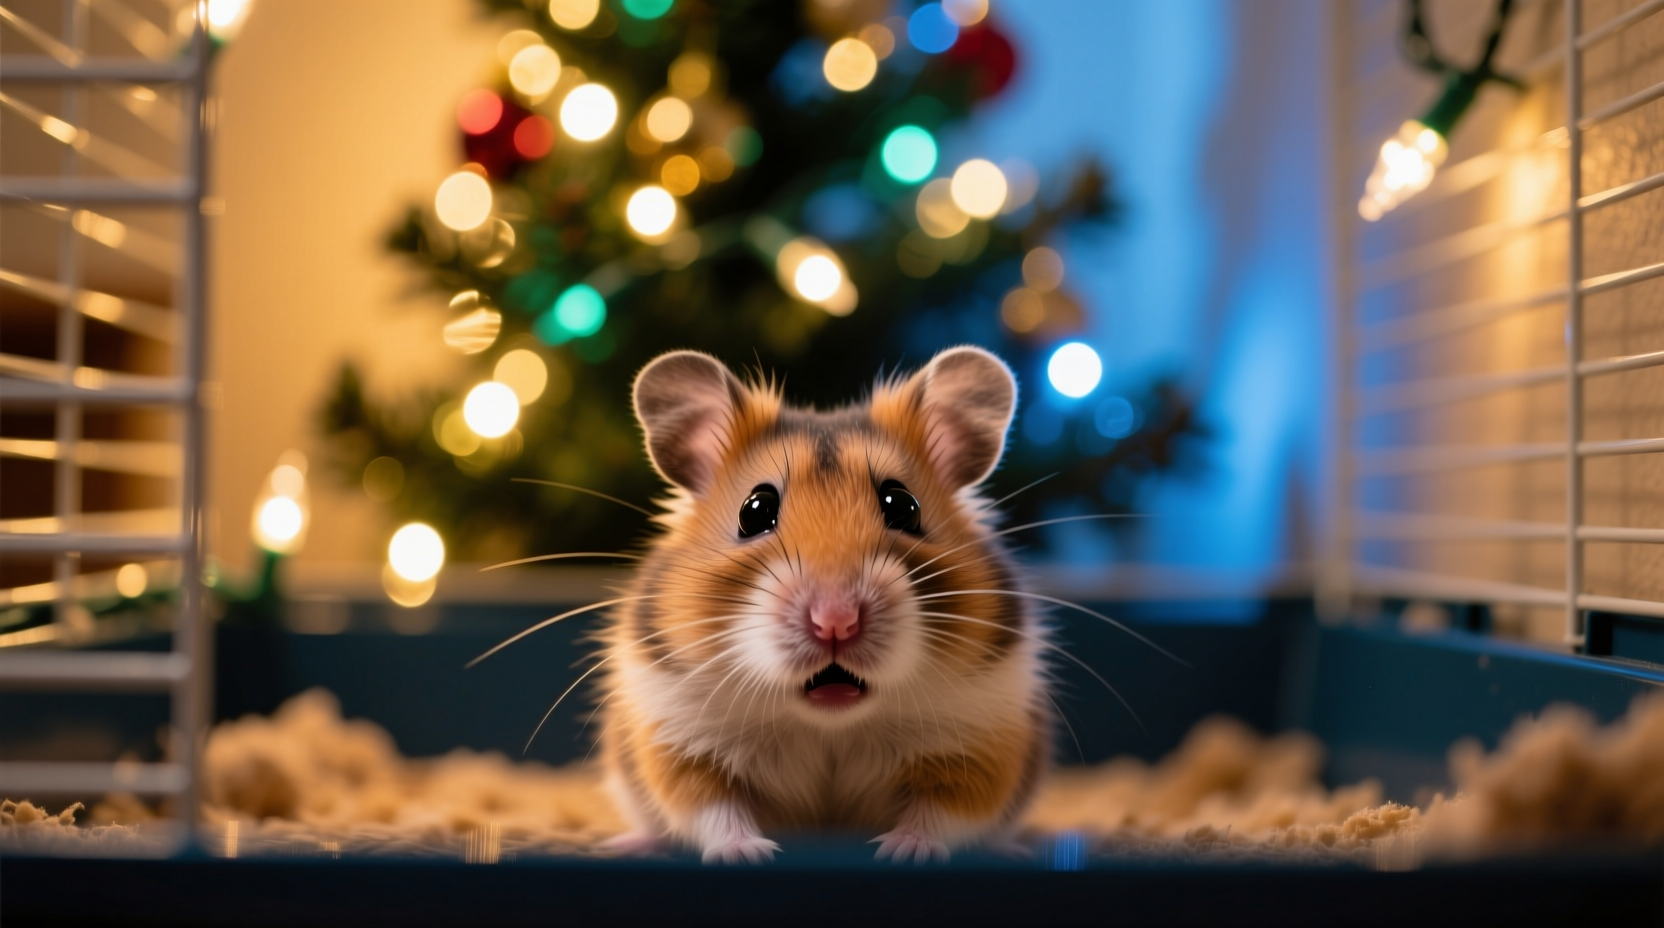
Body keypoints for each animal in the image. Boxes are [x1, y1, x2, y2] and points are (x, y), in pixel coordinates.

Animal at [599, 346, 1049, 864]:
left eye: (904, 506)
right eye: (754, 510)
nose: (836, 621)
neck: (828, 724)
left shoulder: (983, 739)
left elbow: (944, 809)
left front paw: (902, 851)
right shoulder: (678, 738)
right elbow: (711, 806)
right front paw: (749, 854)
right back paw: (627, 844)